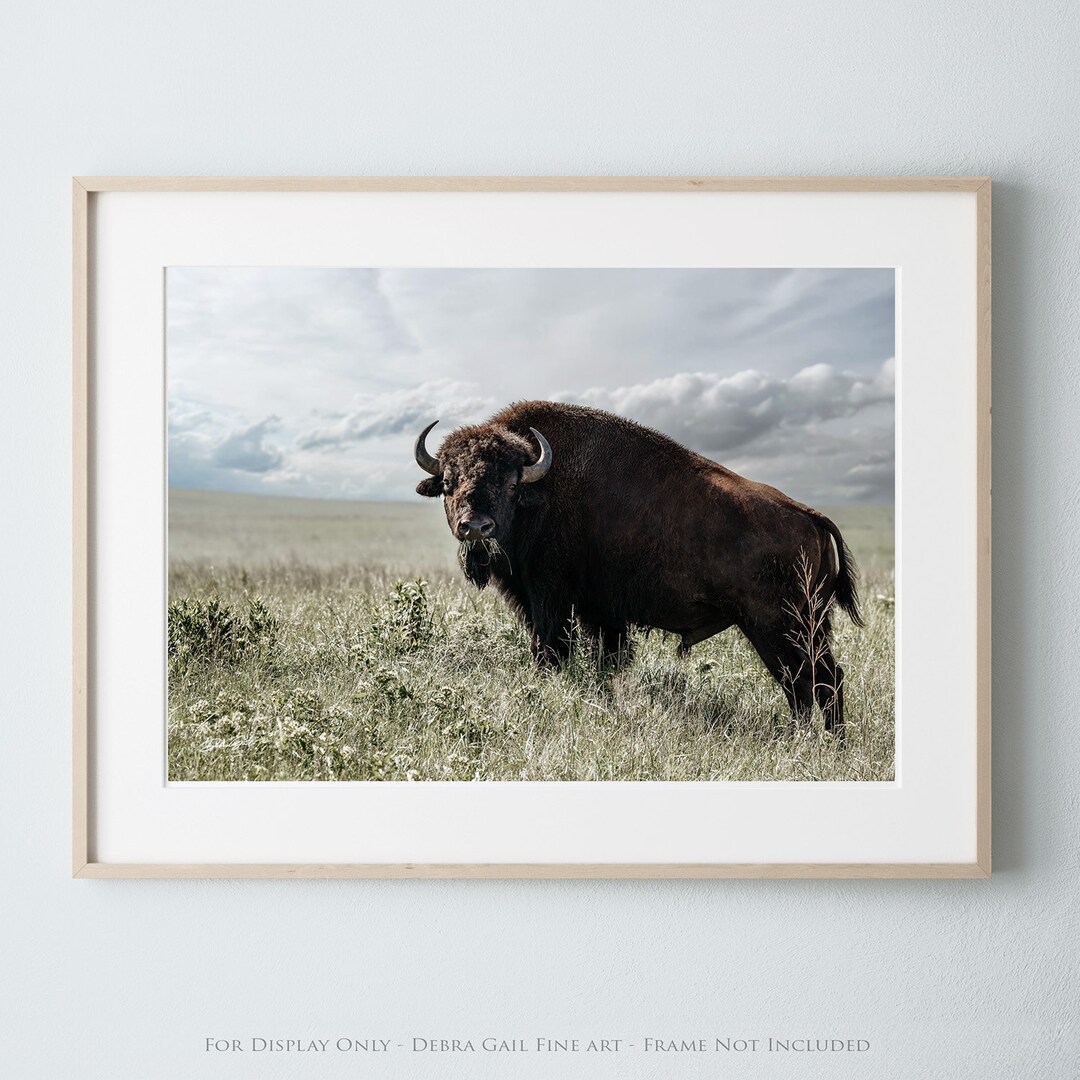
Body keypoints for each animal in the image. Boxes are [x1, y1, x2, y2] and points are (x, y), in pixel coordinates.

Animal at [414, 400, 862, 739]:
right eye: (449, 482)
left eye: (511, 484)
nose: (476, 527)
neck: (541, 489)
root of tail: (809, 515)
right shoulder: (600, 614)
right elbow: (606, 659)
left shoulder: (550, 599)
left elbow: (551, 651)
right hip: (809, 624)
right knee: (823, 679)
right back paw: (829, 742)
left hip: (777, 627)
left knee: (805, 681)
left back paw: (804, 739)